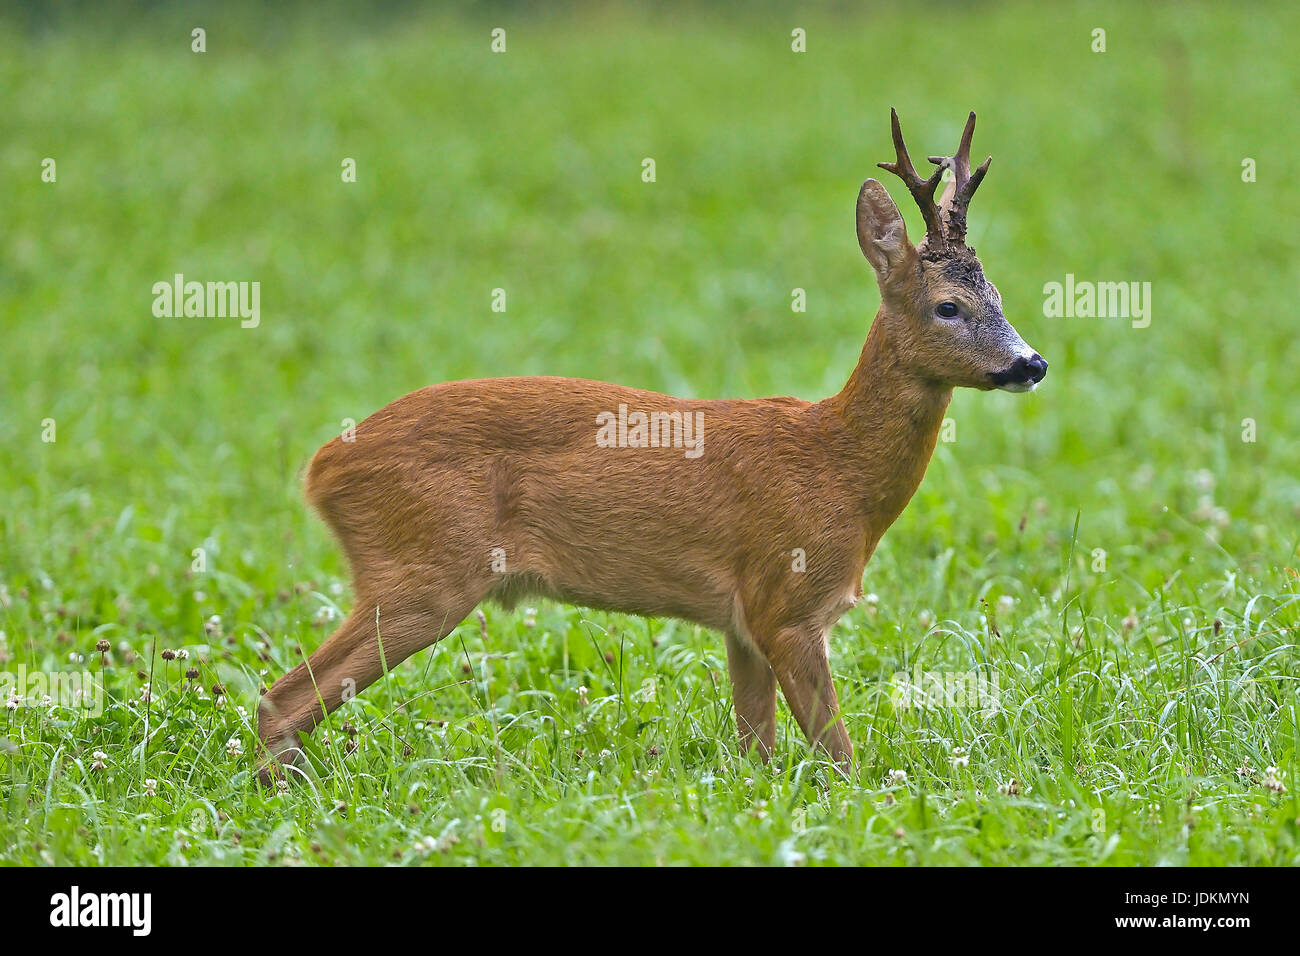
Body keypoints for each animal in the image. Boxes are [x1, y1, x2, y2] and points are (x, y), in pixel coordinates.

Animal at [256, 109, 1047, 784]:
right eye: (948, 306)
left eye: (1001, 299)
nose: (1031, 364)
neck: (840, 469)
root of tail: (320, 467)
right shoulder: (787, 602)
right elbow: (839, 758)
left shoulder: (742, 622)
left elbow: (756, 752)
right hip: (422, 570)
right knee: (280, 698)